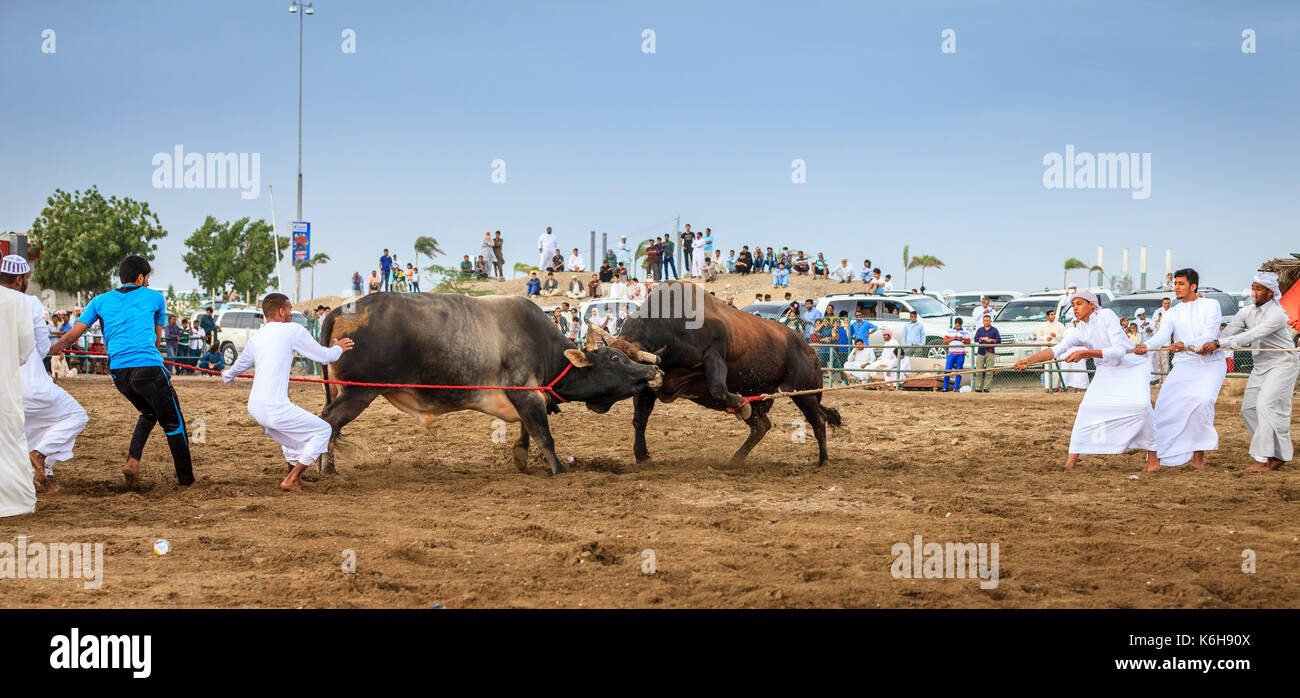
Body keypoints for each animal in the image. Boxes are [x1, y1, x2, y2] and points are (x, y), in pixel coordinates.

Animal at [316, 292, 663, 475]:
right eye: (615, 358)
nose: (652, 372)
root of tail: (343, 309)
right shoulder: (526, 394)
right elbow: (543, 435)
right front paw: (559, 470)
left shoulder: (527, 396)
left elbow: (527, 431)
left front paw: (521, 458)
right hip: (358, 392)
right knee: (329, 420)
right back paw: (327, 469)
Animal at [601, 281, 841, 466]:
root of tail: (808, 348)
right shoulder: (650, 382)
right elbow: (639, 419)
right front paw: (642, 456)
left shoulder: (714, 354)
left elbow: (718, 388)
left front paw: (740, 405)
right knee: (761, 426)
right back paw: (736, 459)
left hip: (804, 391)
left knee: (818, 421)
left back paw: (823, 461)